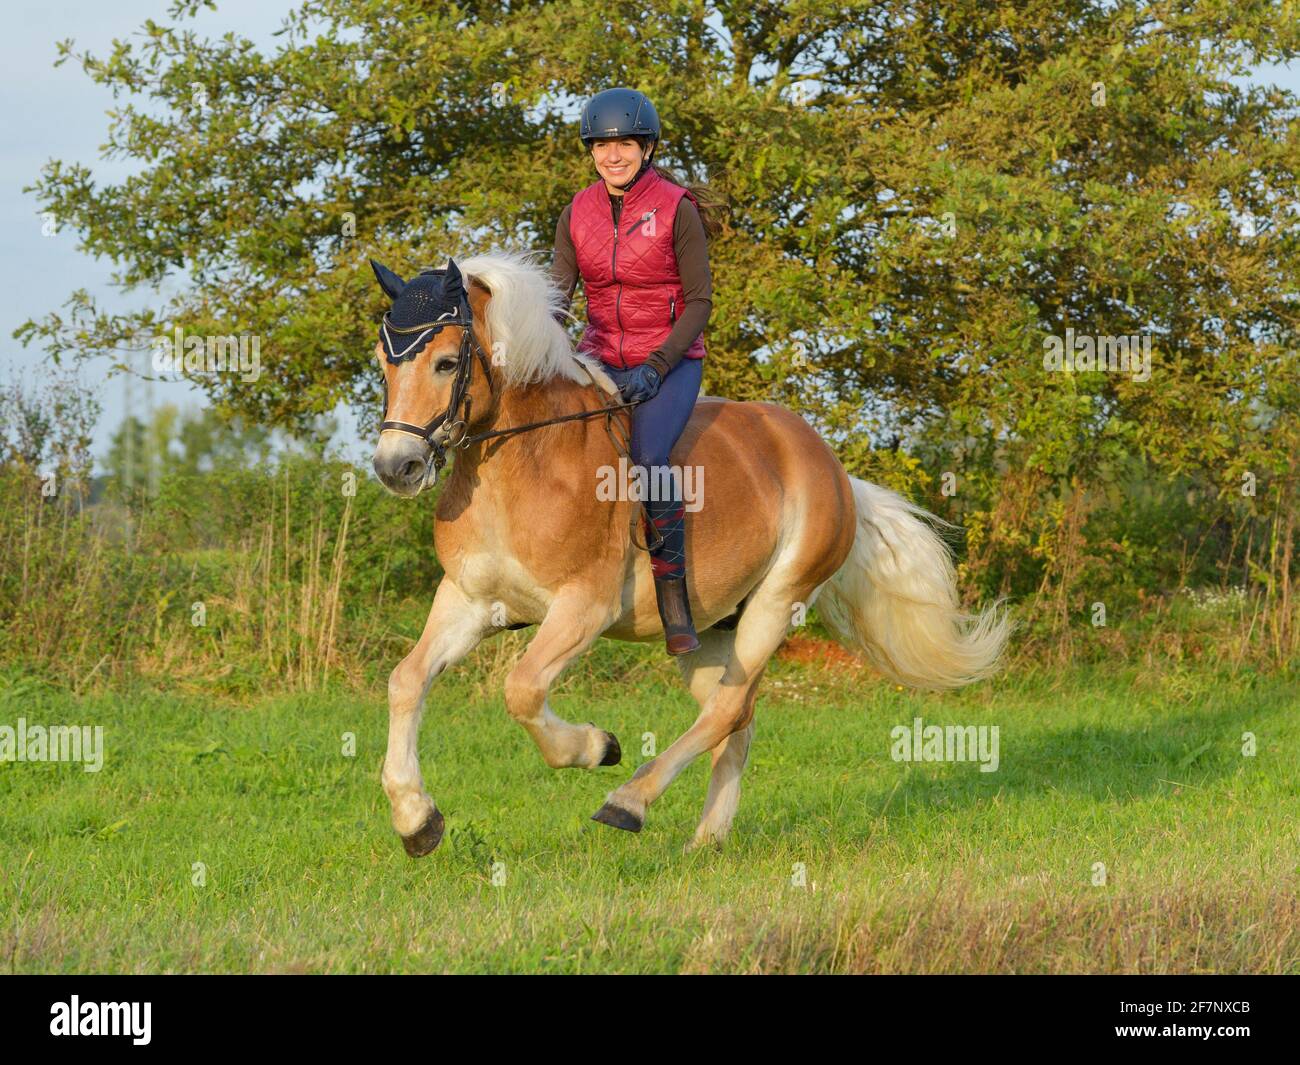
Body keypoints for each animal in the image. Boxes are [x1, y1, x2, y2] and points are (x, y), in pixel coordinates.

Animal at [369, 250, 1010, 857]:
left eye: (445, 362)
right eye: (383, 362)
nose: (396, 467)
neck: (526, 460)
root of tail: (832, 467)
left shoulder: (583, 607)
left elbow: (521, 689)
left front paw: (598, 746)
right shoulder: (468, 600)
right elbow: (406, 681)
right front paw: (417, 822)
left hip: (778, 601)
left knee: (728, 710)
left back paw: (629, 801)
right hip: (707, 630)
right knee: (733, 717)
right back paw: (707, 838)